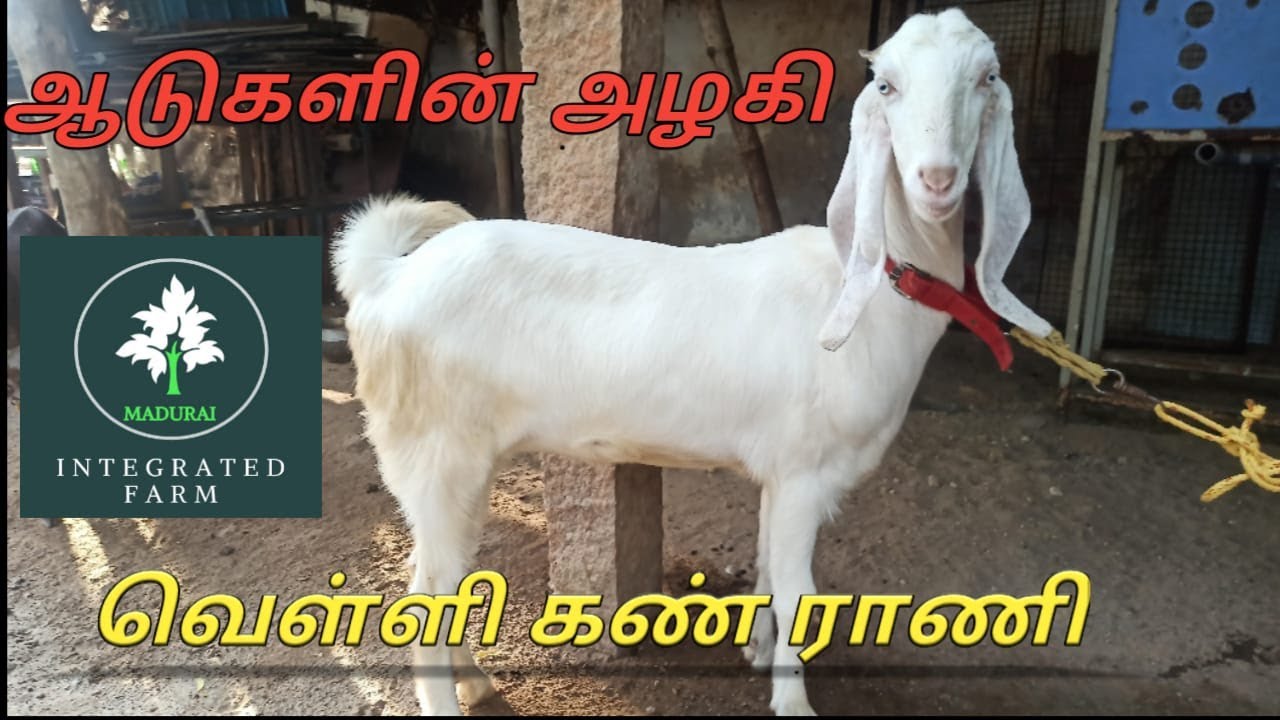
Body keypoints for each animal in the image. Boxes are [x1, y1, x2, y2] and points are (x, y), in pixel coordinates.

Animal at [332, 8, 1052, 716]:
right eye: (887, 85)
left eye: (986, 78)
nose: (937, 179)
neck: (871, 288)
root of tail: (386, 276)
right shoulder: (805, 471)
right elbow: (798, 594)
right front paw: (793, 703)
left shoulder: (779, 472)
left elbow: (766, 567)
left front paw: (757, 651)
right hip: (432, 455)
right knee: (424, 594)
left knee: (444, 582)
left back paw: (477, 681)